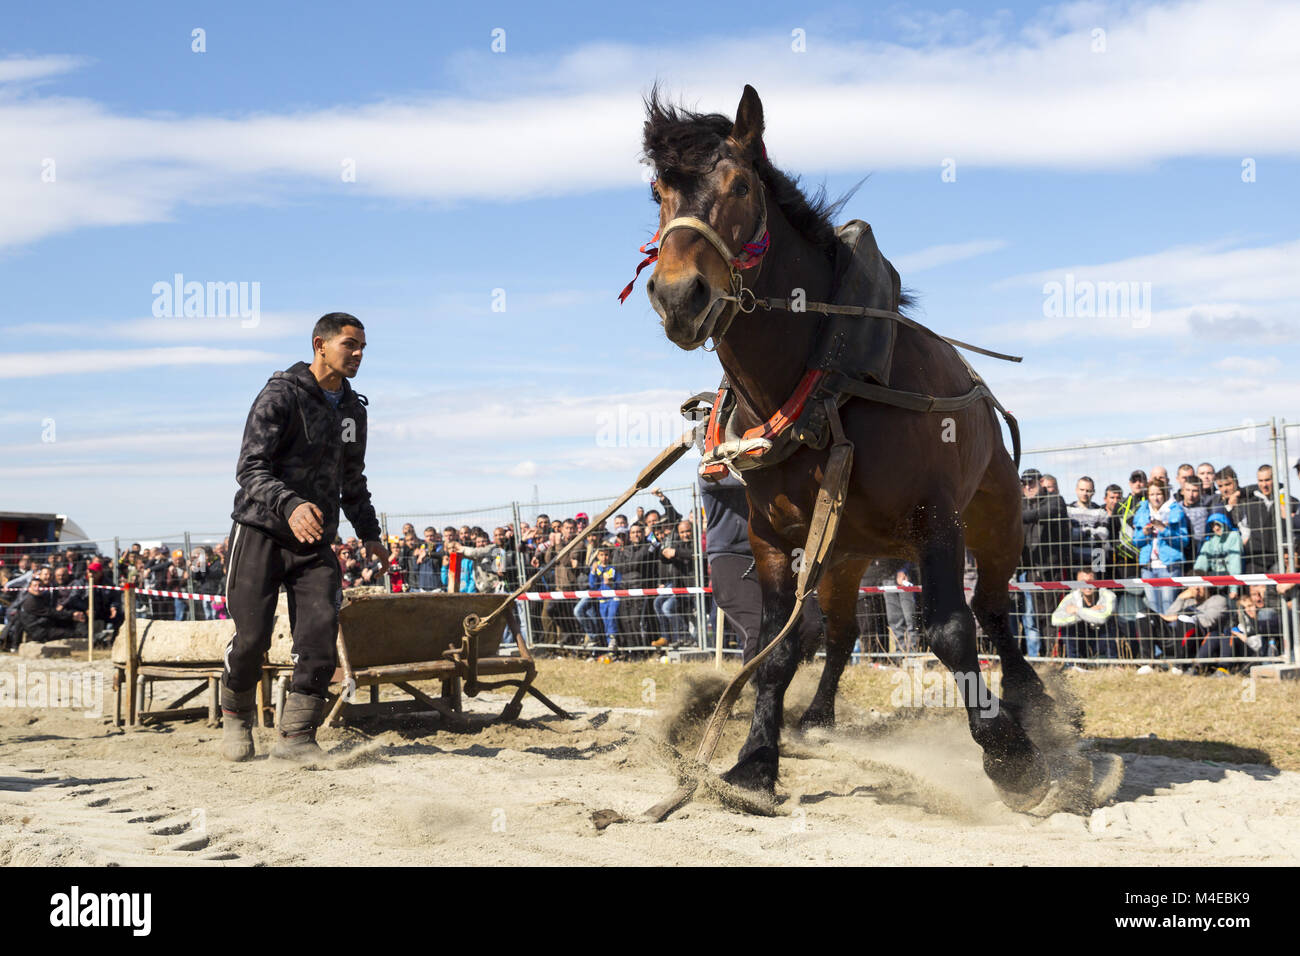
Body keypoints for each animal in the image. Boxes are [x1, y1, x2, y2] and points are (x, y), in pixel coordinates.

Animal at [636, 85, 1069, 811]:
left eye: (741, 184)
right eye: (658, 191)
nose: (678, 297)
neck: (828, 380)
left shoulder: (935, 520)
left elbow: (951, 632)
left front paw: (1009, 756)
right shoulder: (774, 538)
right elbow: (775, 648)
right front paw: (755, 759)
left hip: (996, 517)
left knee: (991, 609)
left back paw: (1026, 698)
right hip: (843, 556)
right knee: (839, 634)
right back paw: (817, 717)